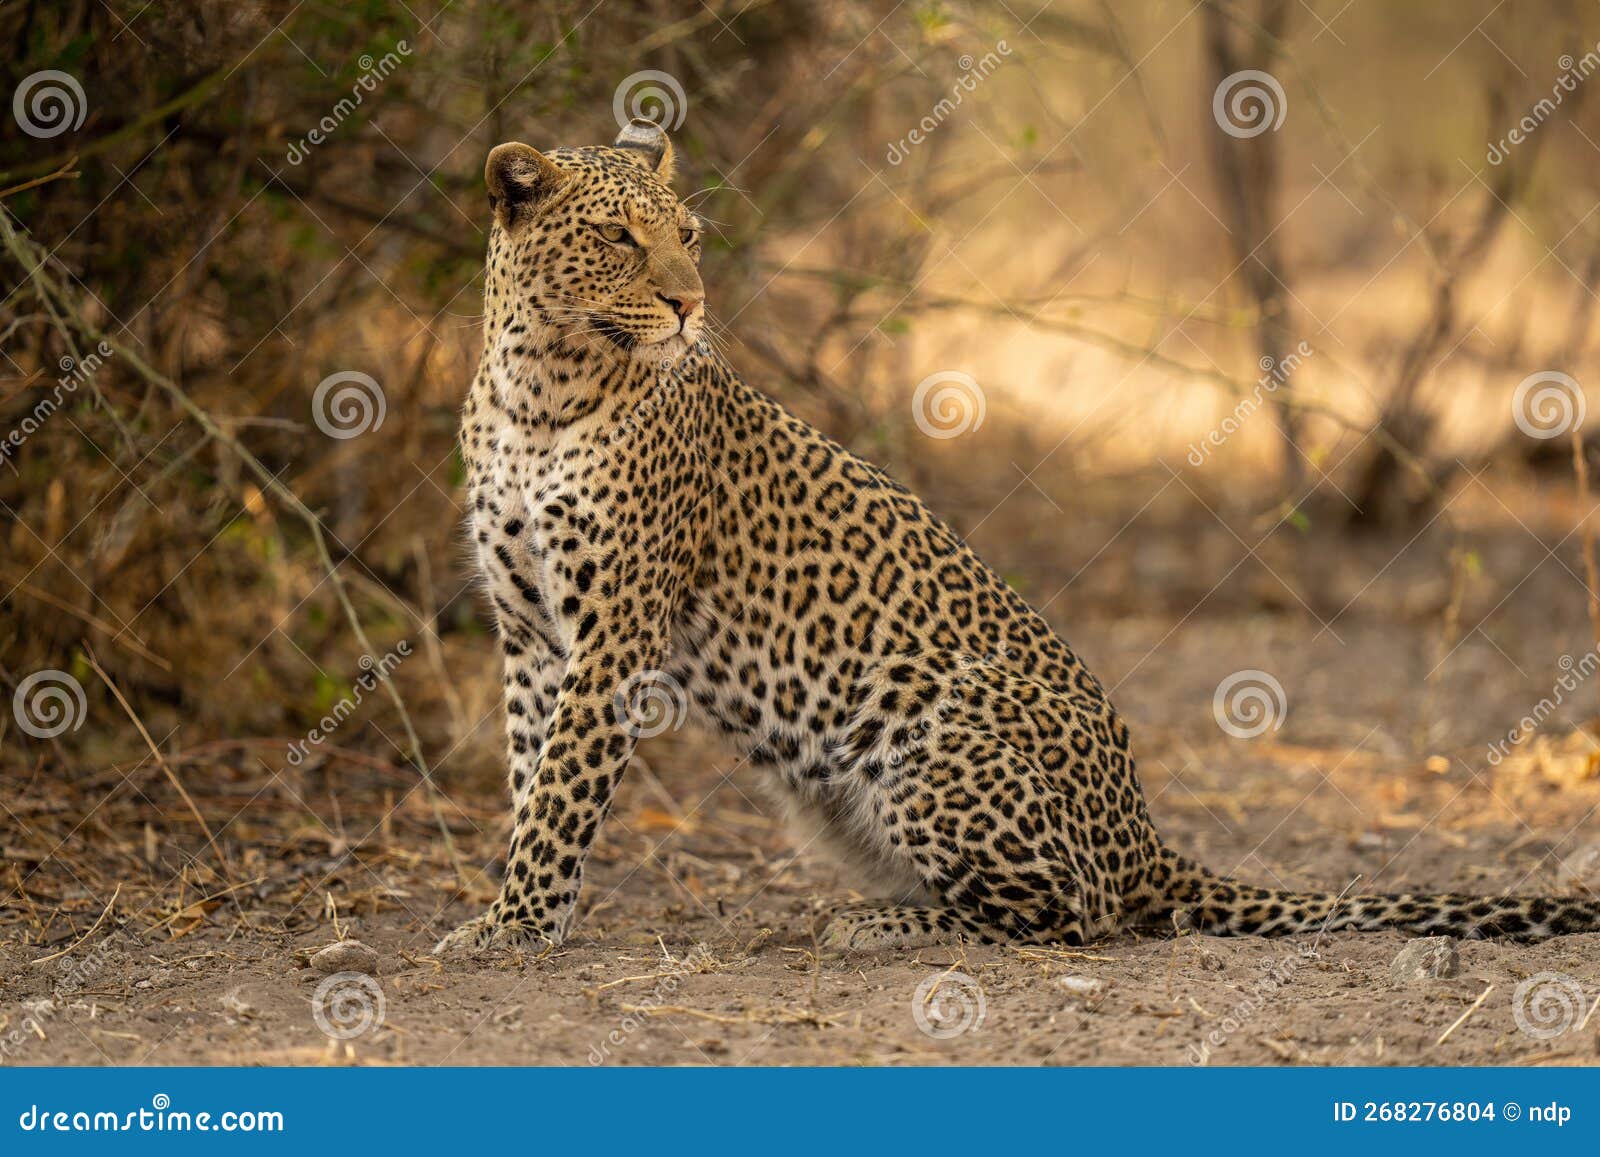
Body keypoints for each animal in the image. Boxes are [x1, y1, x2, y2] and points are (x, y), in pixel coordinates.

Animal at [435, 117, 1600, 957]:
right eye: (616, 238)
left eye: (686, 235)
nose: (691, 302)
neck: (539, 389)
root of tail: (1144, 839)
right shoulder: (532, 633)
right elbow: (535, 773)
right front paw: (523, 911)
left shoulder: (616, 630)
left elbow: (563, 785)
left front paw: (514, 924)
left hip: (940, 723)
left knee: (1071, 915)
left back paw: (871, 924)